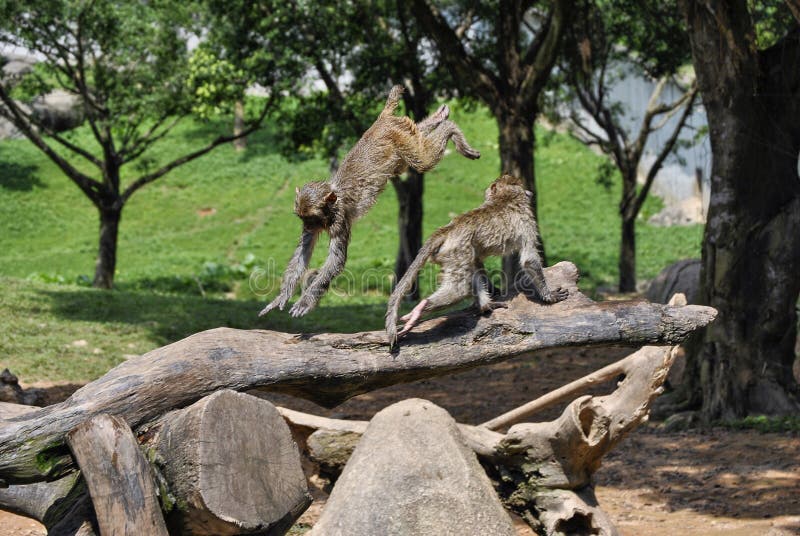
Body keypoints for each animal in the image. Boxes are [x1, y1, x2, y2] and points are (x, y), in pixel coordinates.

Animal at [259, 85, 481, 318]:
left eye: (311, 218)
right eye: (303, 220)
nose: (308, 227)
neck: (332, 206)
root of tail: (381, 121)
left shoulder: (340, 219)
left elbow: (335, 261)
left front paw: (305, 301)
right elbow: (303, 253)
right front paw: (281, 297)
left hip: (398, 136)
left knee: (423, 159)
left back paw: (450, 128)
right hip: (402, 138)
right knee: (417, 137)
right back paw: (436, 119)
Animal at [385, 174, 569, 348]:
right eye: (522, 187)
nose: (529, 193)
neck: (504, 198)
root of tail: (449, 228)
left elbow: (478, 259)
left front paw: (492, 292)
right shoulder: (527, 221)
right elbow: (529, 261)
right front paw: (549, 296)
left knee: (471, 263)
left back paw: (484, 306)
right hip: (456, 250)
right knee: (459, 288)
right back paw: (421, 307)